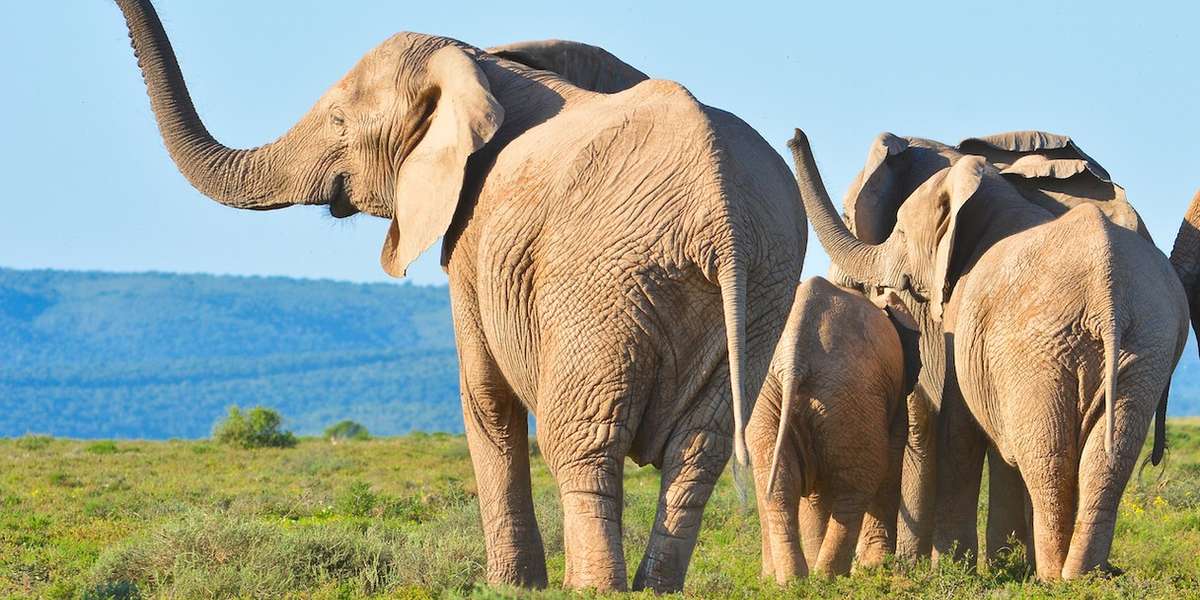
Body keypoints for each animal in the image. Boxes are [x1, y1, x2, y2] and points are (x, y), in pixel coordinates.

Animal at [111, 1, 807, 592]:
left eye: (338, 122)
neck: (483, 63)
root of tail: (720, 209)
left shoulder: (472, 238)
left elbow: (485, 396)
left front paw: (512, 588)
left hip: (607, 280)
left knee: (584, 441)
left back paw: (593, 589)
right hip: (760, 289)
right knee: (699, 452)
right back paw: (653, 588)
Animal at [747, 277, 918, 582]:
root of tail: (794, 357)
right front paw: (875, 567)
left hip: (778, 397)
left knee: (779, 484)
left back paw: (794, 582)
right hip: (849, 393)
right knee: (856, 486)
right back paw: (827, 579)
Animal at [788, 128, 1187, 580]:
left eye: (901, 234)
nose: (795, 136)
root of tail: (1107, 286)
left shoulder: (960, 316)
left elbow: (956, 425)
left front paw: (955, 566)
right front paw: (1004, 565)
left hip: (1040, 346)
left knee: (1047, 455)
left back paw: (1054, 577)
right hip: (1144, 345)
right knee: (1108, 455)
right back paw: (1086, 574)